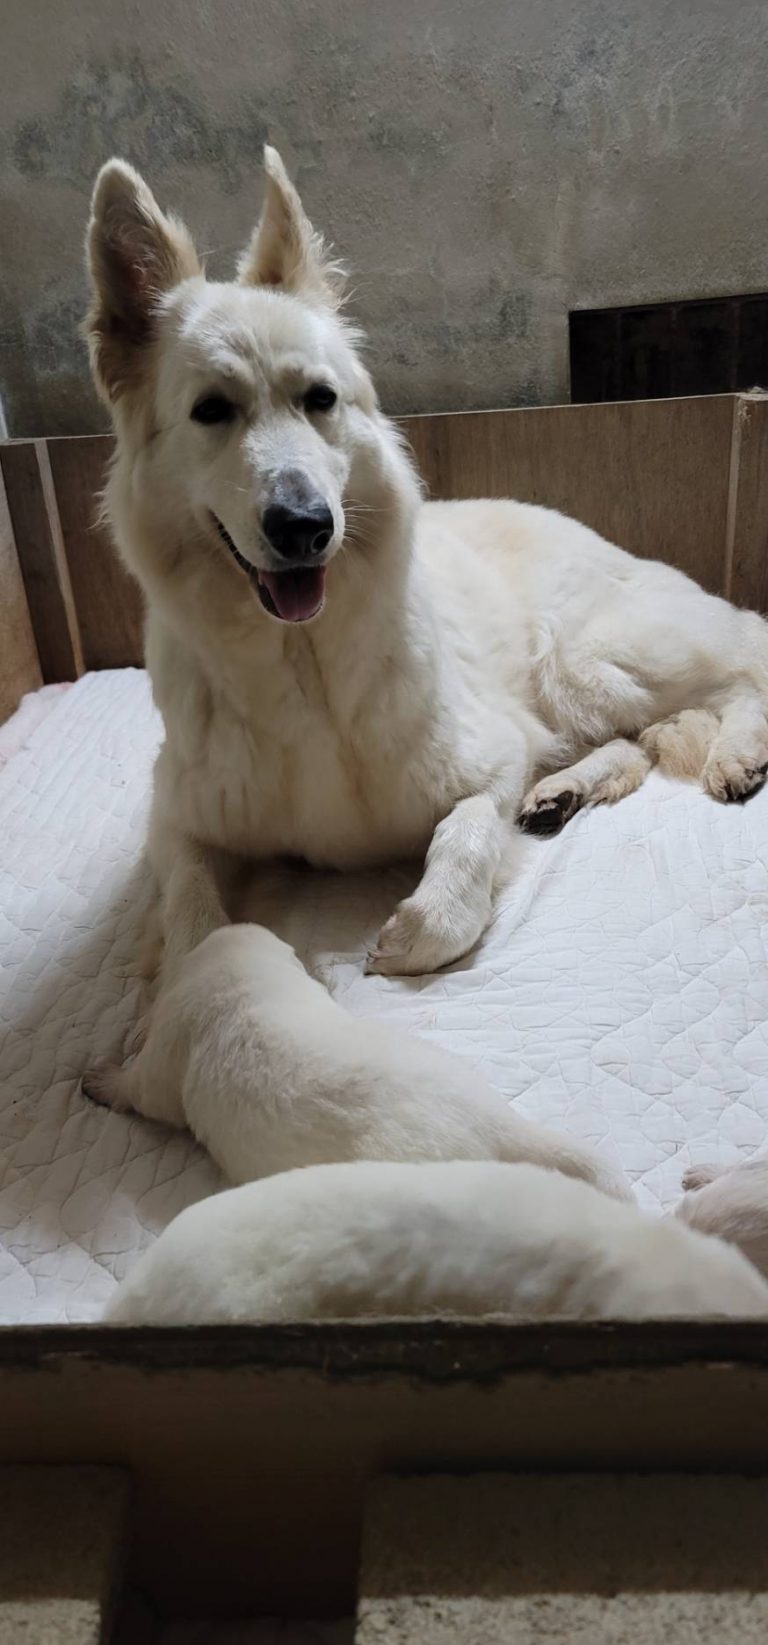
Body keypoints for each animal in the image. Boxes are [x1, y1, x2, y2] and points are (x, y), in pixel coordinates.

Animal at [86, 147, 768, 985]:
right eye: (211, 410)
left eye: (320, 399)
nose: (306, 527)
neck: (304, 664)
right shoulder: (176, 817)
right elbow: (189, 909)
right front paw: (209, 967)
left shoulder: (493, 757)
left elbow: (465, 839)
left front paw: (422, 925)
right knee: (637, 740)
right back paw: (565, 789)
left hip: (591, 663)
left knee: (742, 673)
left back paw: (734, 752)